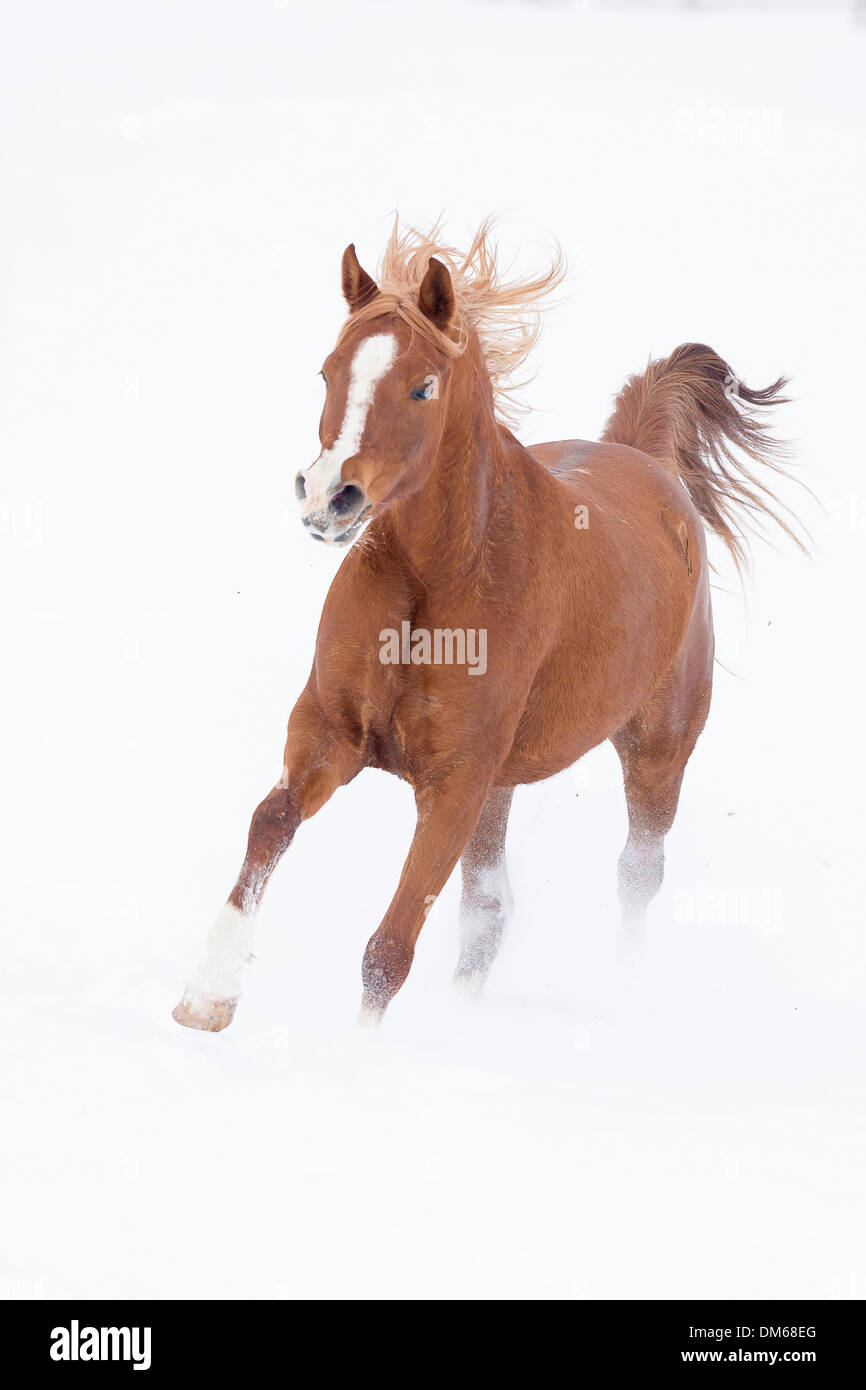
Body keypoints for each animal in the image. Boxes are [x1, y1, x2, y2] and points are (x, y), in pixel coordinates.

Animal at [172, 221, 800, 1033]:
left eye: (422, 387)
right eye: (327, 372)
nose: (328, 498)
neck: (436, 583)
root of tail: (647, 462)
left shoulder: (457, 779)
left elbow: (390, 945)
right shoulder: (332, 731)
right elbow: (271, 821)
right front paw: (207, 996)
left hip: (657, 748)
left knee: (638, 872)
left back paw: (624, 990)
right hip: (506, 784)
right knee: (491, 906)